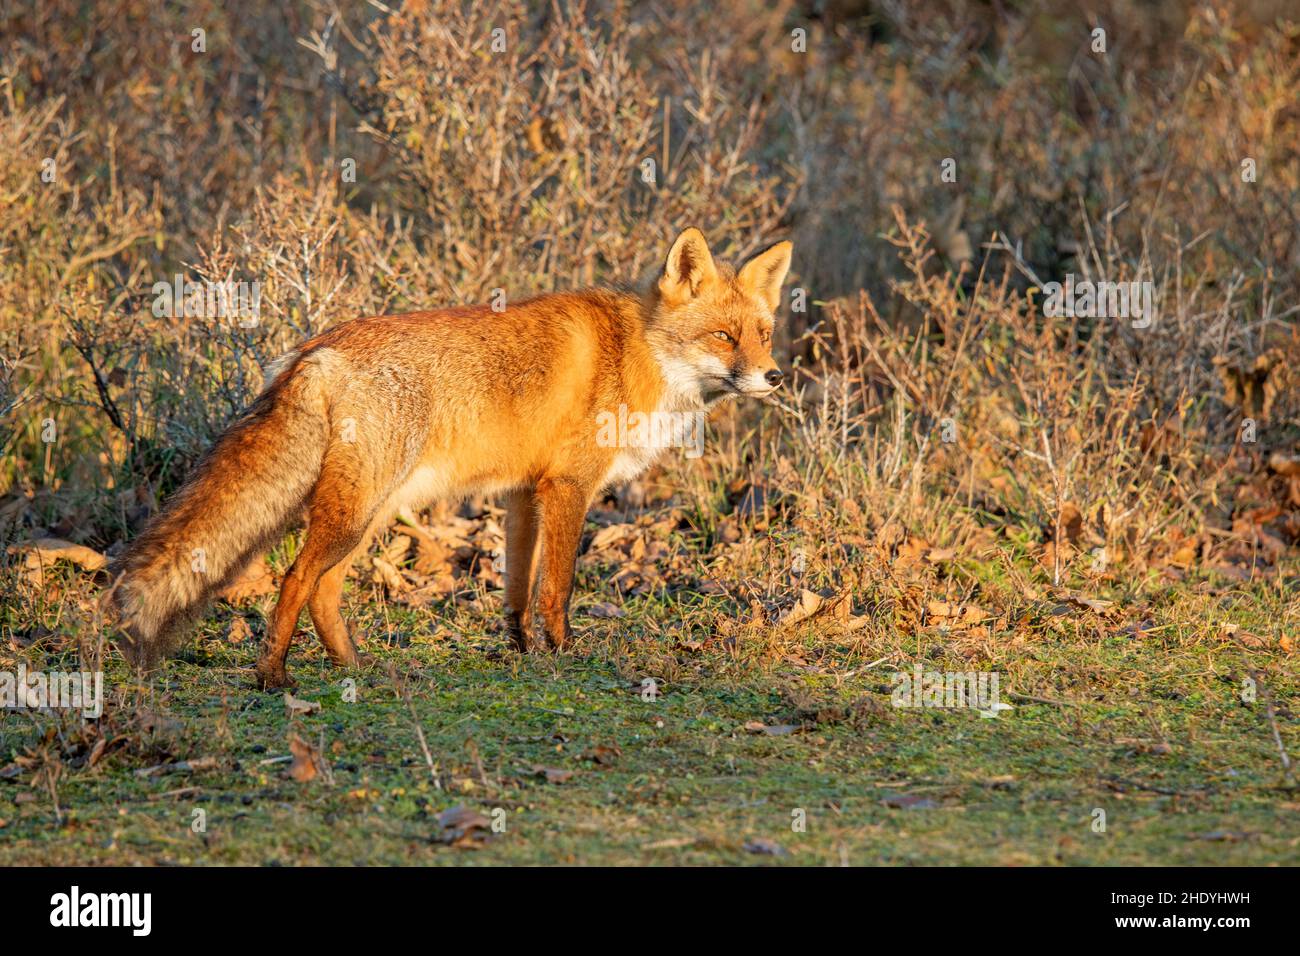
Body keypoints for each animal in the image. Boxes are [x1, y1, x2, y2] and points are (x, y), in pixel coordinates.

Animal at [106, 227, 792, 688]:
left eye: (764, 334)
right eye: (723, 337)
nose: (775, 376)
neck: (638, 355)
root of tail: (317, 348)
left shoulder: (524, 493)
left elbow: (518, 586)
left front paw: (521, 651)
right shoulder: (569, 486)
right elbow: (557, 588)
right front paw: (565, 653)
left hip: (371, 513)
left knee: (324, 589)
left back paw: (356, 666)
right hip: (355, 514)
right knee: (295, 578)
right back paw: (272, 674)